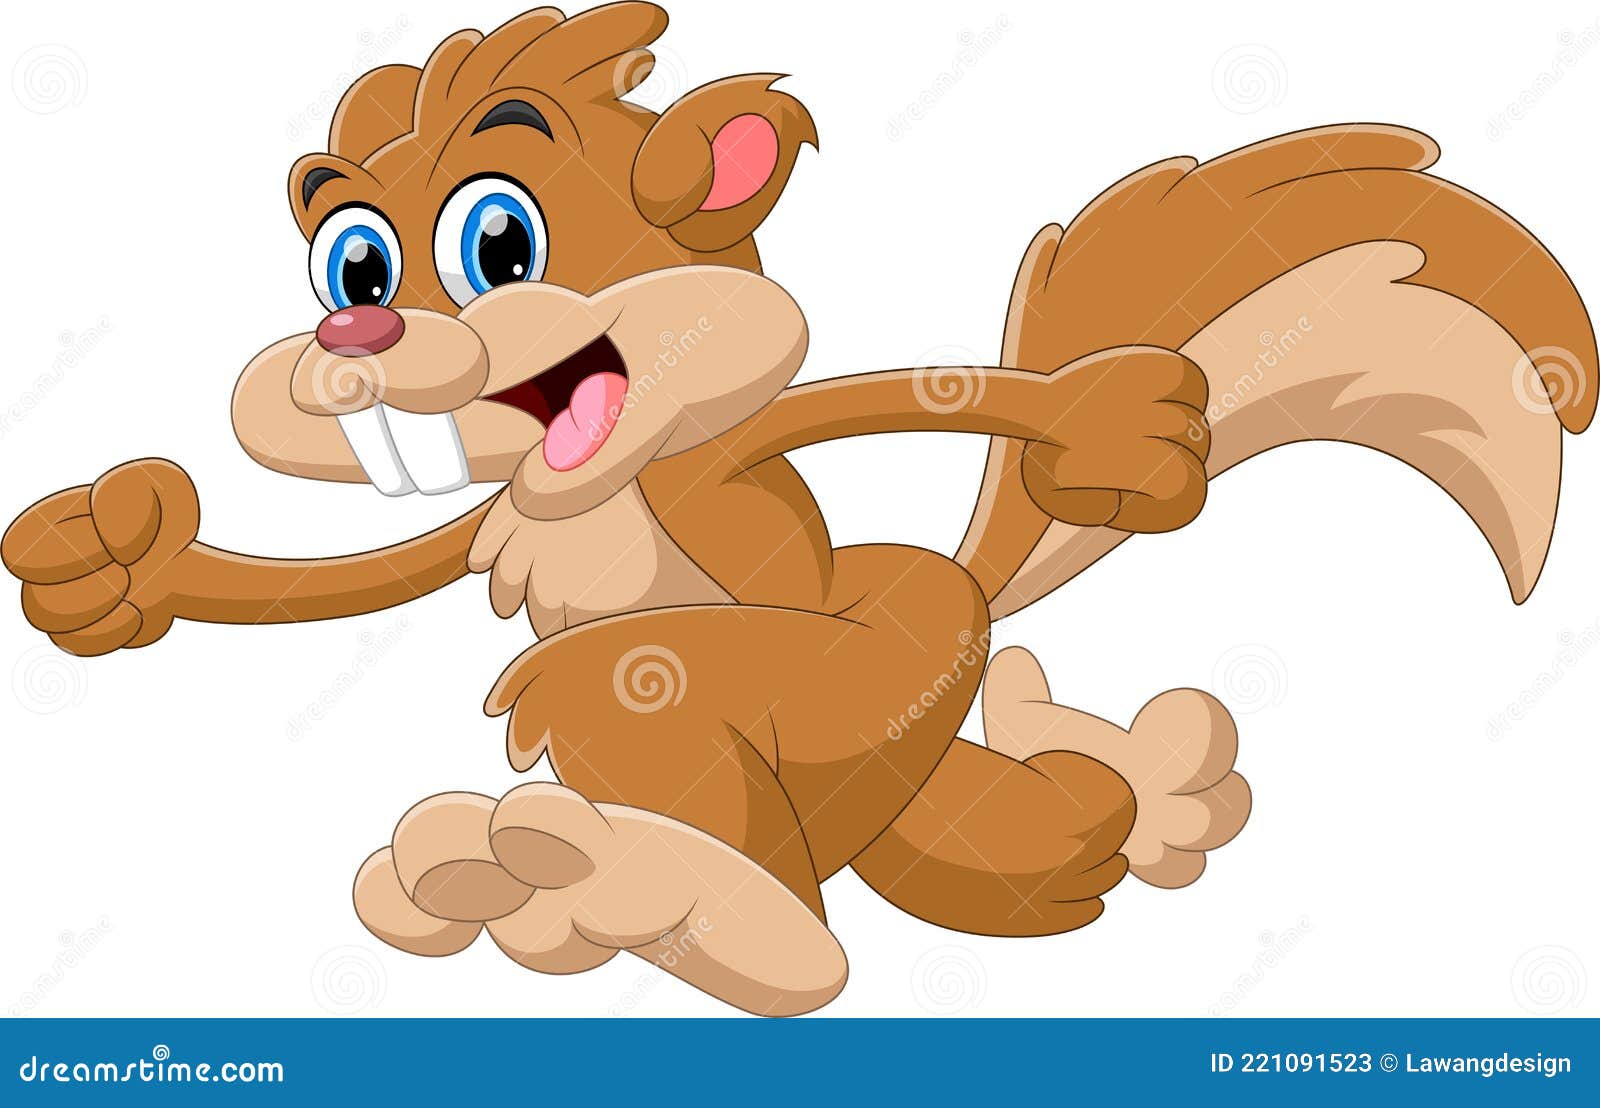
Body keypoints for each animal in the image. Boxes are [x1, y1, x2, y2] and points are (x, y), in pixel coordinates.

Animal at [4, 4, 1594, 1015]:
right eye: (355, 263)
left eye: (499, 241)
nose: (358, 335)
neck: (599, 485)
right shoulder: (473, 522)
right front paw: (115, 559)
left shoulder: (735, 457)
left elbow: (902, 403)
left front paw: (1110, 422)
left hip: (885, 669)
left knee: (635, 686)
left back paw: (704, 911)